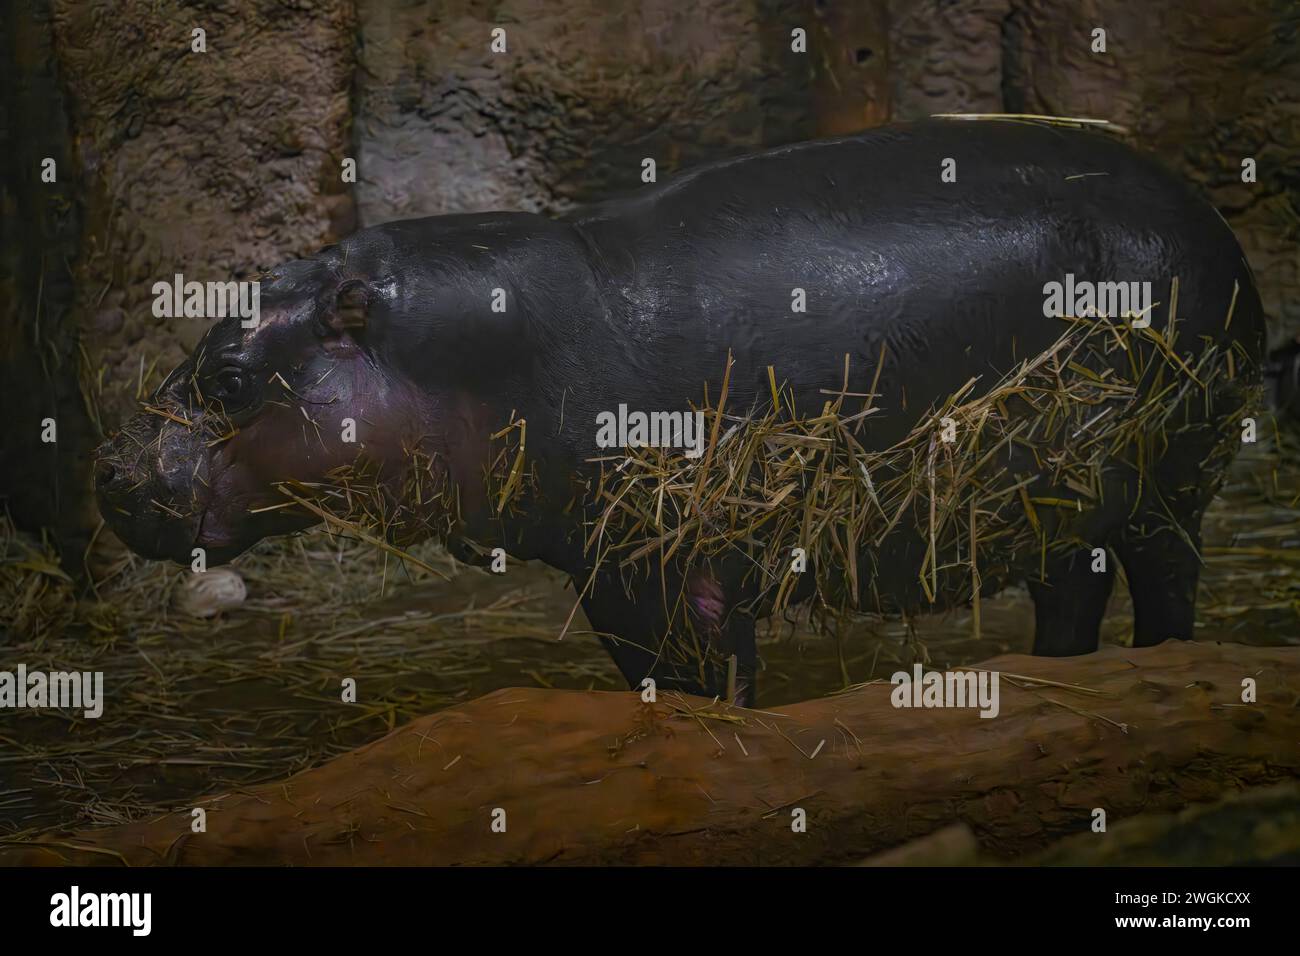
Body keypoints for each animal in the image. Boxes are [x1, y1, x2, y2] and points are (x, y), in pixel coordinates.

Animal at [96, 118, 1266, 706]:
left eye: (229, 374)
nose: (108, 473)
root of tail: (1211, 220)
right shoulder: (608, 567)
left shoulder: (668, 561)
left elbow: (708, 676)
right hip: (1053, 494)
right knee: (1073, 590)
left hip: (1165, 478)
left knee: (1163, 582)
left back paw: (1164, 666)